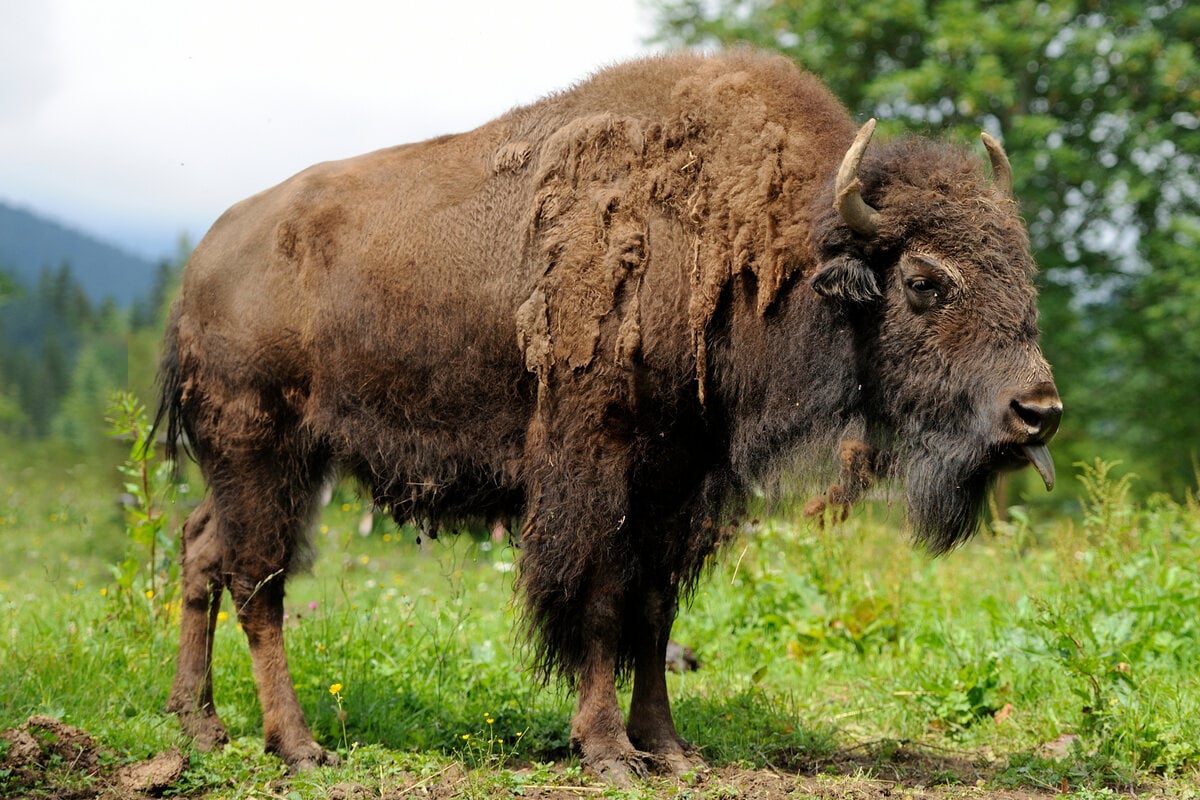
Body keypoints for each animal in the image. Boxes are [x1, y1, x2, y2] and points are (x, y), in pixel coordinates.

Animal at [155, 50, 1061, 784]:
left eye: (1024, 272)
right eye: (924, 281)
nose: (1039, 411)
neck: (753, 241)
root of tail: (203, 262)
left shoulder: (679, 481)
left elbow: (653, 610)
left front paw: (670, 748)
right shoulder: (597, 464)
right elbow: (598, 598)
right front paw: (607, 750)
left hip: (281, 463)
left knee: (203, 549)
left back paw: (200, 729)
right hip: (260, 447)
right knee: (258, 579)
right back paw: (297, 746)